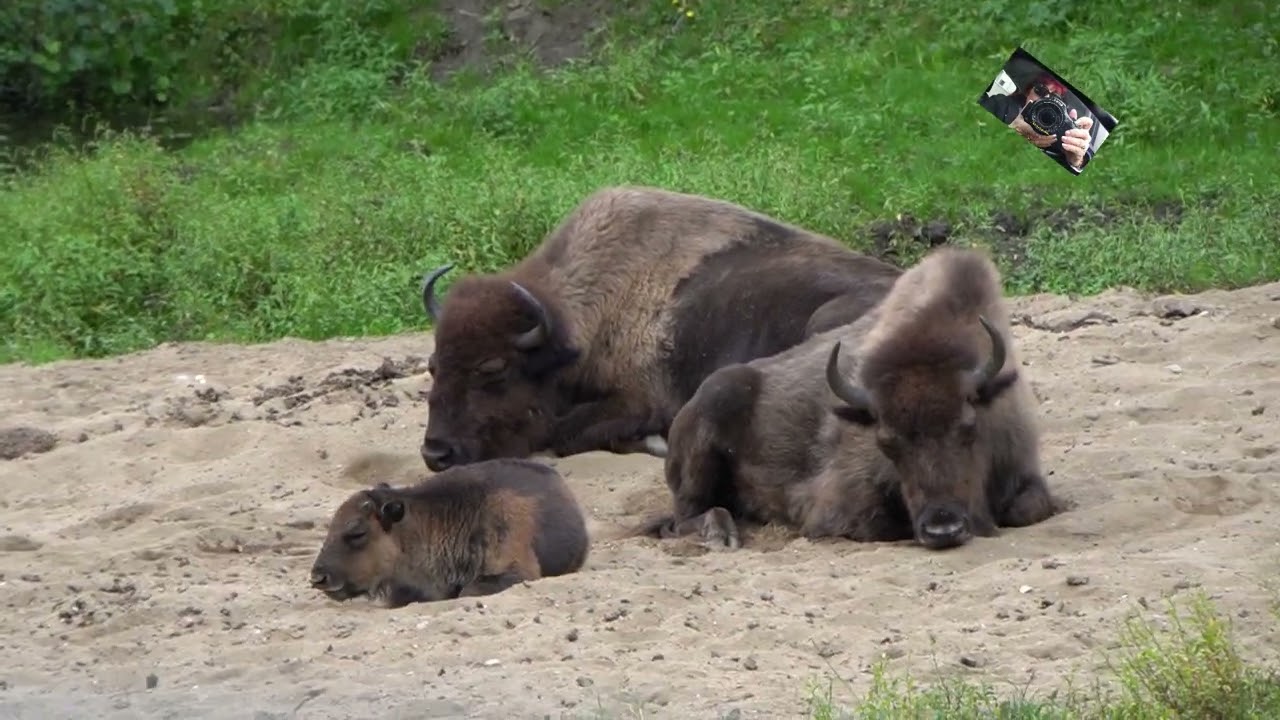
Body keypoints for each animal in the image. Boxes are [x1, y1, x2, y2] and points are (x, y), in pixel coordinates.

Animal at [650, 246, 1060, 550]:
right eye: (886, 443)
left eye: (968, 428)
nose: (942, 528)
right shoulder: (837, 503)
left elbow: (1031, 506)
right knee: (686, 516)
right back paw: (721, 533)